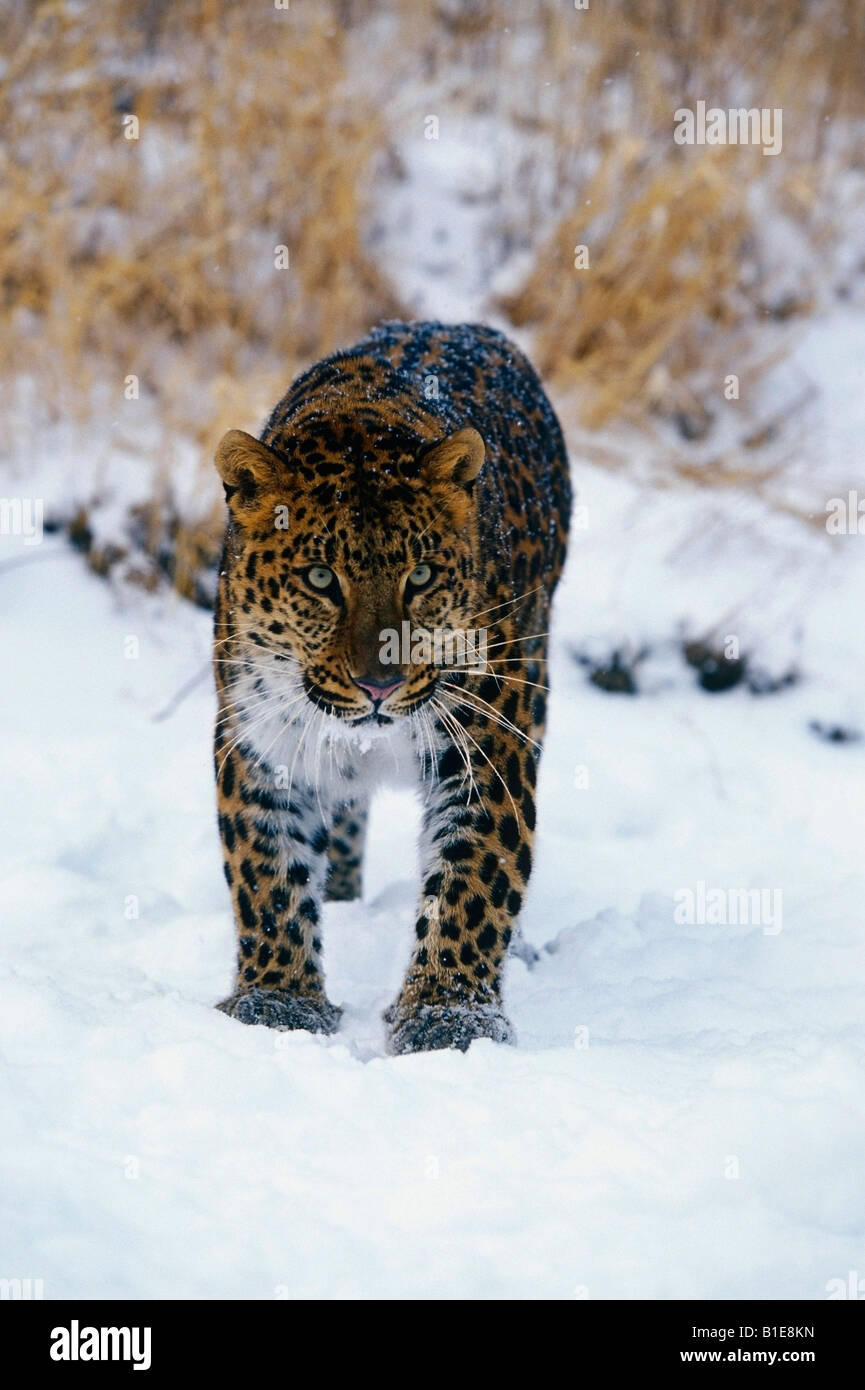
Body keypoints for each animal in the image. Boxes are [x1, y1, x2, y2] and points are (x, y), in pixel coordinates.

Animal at [212, 320, 571, 1054]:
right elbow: (267, 872)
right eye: (320, 578)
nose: (379, 684)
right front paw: (277, 999)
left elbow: (474, 880)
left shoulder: (488, 745)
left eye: (422, 575)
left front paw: (448, 1015)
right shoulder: (260, 740)